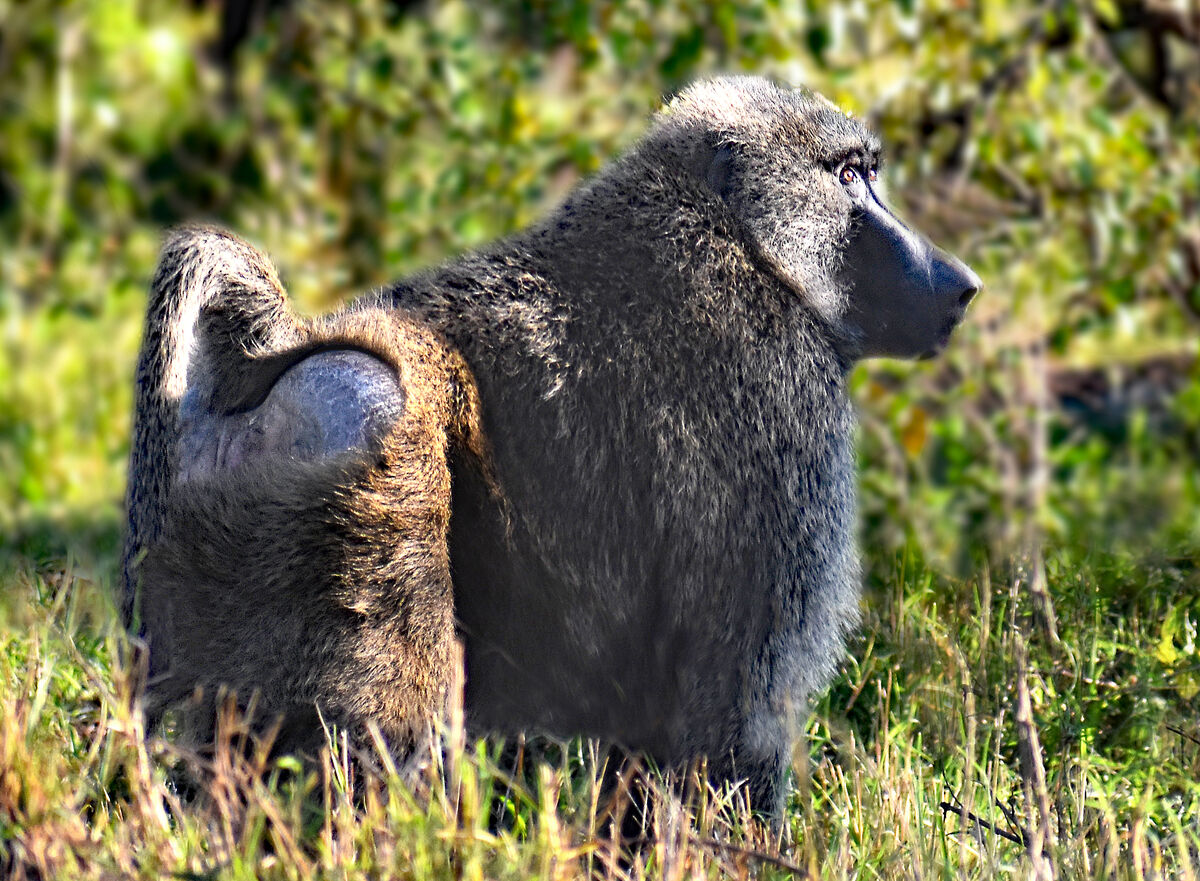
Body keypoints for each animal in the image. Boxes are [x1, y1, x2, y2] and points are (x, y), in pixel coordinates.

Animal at [123, 77, 980, 811]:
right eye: (848, 176)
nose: (959, 282)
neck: (741, 238)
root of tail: (267, 362)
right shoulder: (784, 404)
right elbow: (736, 723)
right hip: (372, 467)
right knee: (393, 741)